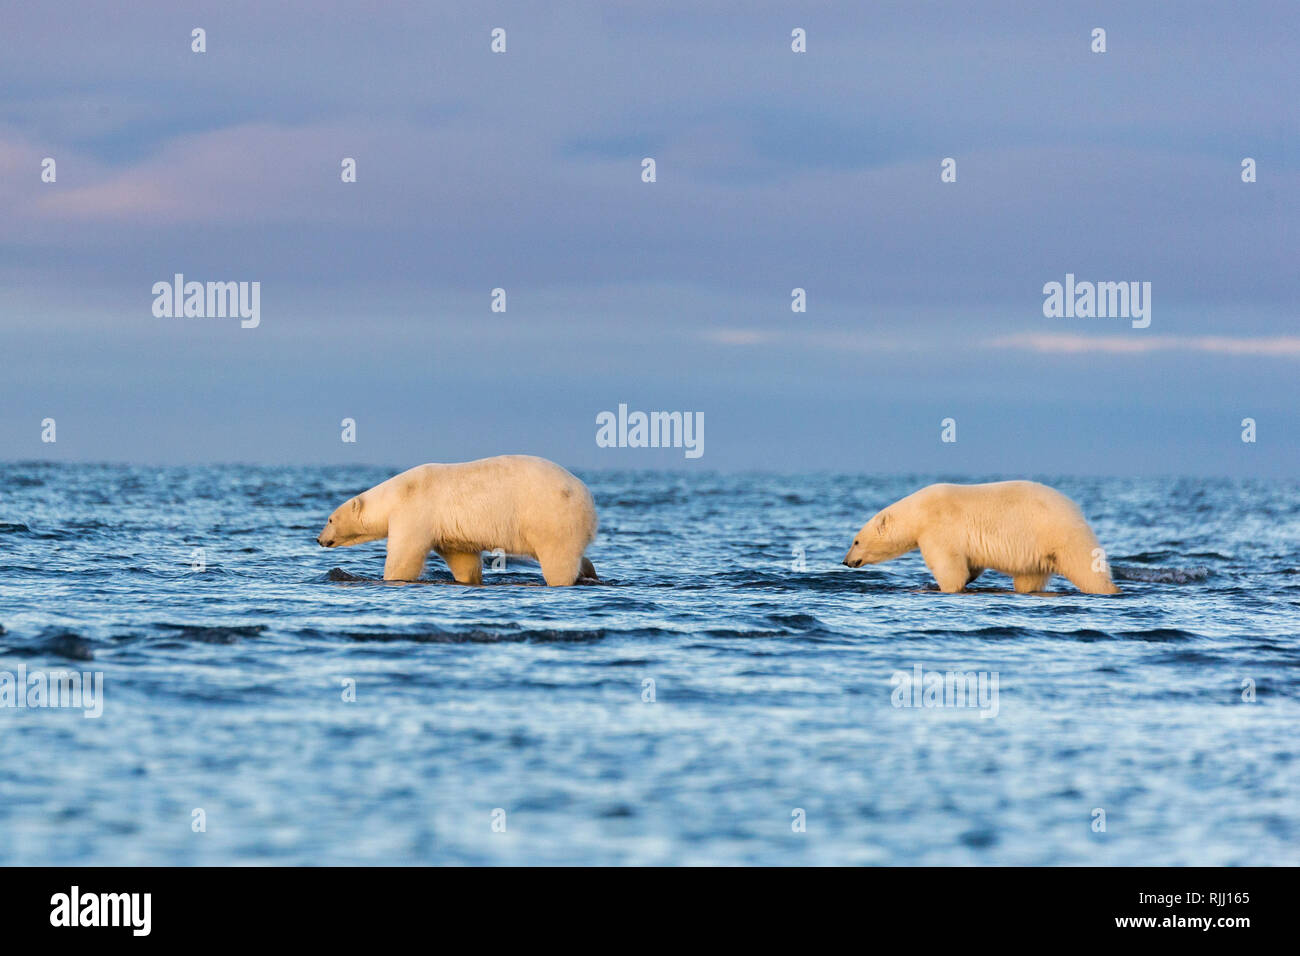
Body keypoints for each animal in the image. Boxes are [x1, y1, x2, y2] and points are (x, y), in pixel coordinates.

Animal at [317, 455, 598, 586]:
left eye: (330, 519)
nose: (319, 539)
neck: (394, 494)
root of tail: (587, 500)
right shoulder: (448, 532)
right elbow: (462, 558)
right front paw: (469, 580)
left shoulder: (413, 510)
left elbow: (404, 553)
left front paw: (391, 578)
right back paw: (590, 572)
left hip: (550, 517)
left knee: (557, 560)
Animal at [841, 480, 1118, 594]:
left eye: (856, 541)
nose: (846, 561)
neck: (918, 511)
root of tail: (1075, 509)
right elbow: (970, 563)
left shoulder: (938, 528)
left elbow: (948, 565)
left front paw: (948, 587)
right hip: (1036, 553)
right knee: (1028, 578)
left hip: (1057, 534)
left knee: (1086, 568)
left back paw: (1109, 590)